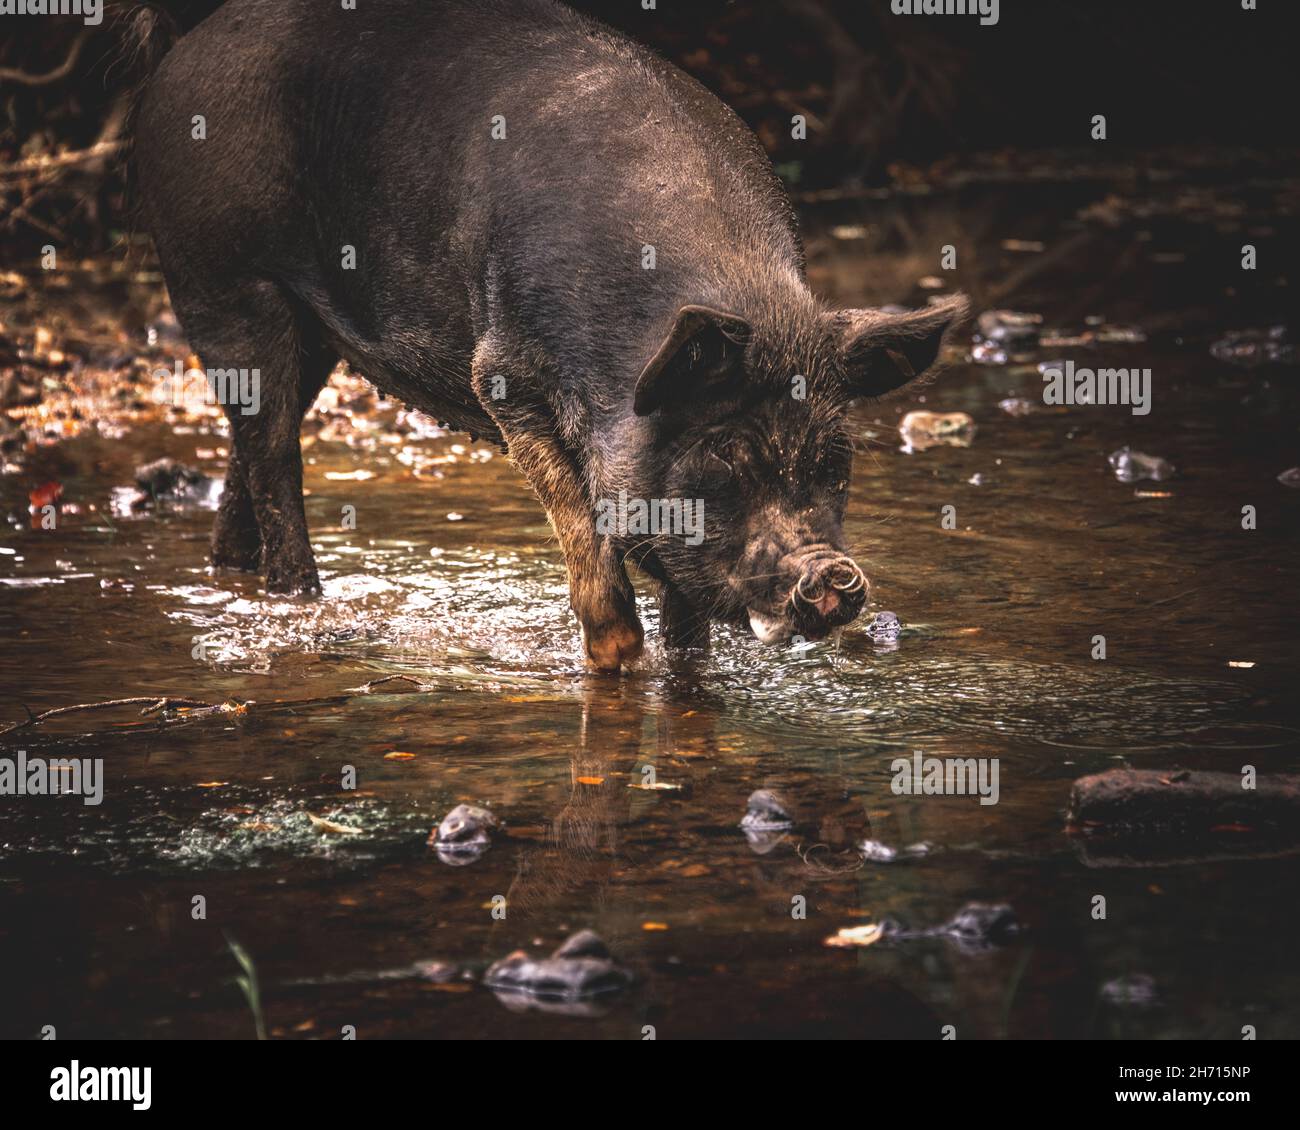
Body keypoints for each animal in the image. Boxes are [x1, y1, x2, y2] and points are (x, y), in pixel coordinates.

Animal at [132, 0, 968, 670]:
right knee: (275, 458)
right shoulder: (505, 376)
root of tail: (189, 45)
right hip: (222, 282)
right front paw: (614, 661)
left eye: (835, 462)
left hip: (302, 331)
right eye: (723, 461)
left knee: (246, 461)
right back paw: (301, 604)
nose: (831, 574)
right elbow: (582, 530)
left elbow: (688, 623)